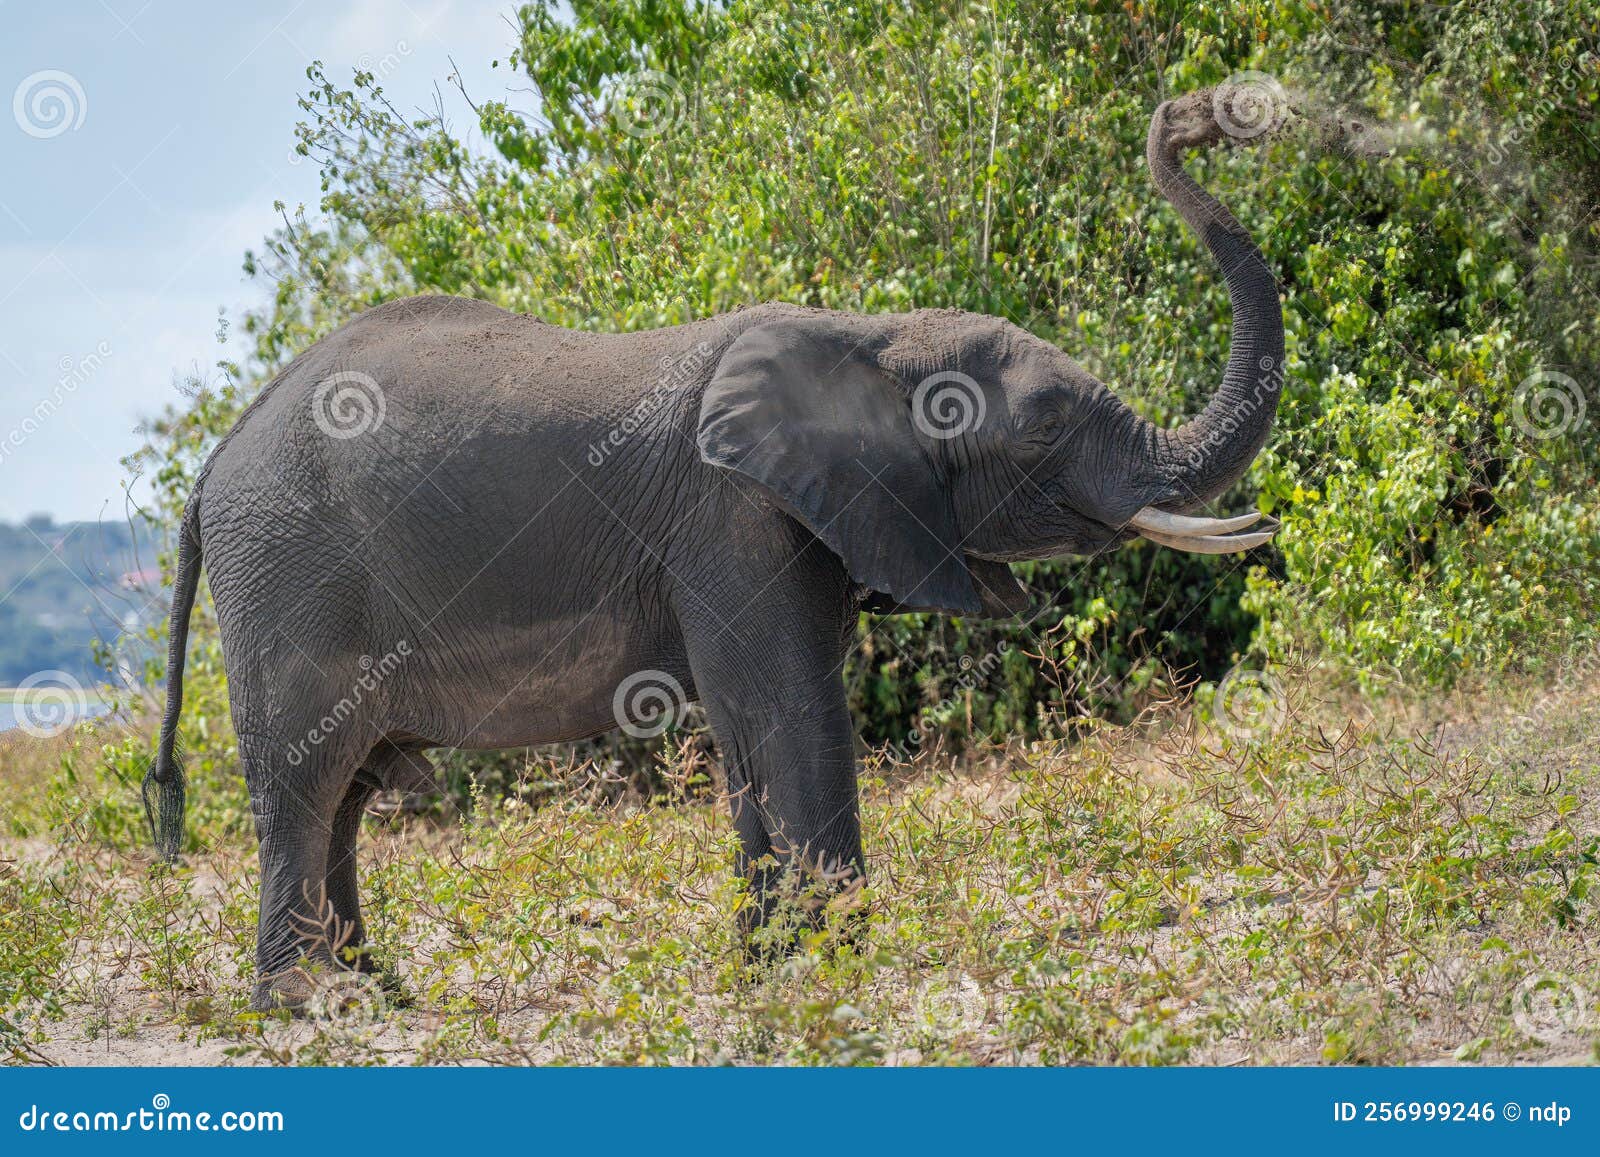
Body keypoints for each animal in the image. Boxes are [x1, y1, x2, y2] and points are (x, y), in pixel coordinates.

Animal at [143, 85, 1287, 1010]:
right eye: (1047, 426)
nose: (1197, 119)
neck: (869, 334)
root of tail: (212, 464)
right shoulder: (730, 518)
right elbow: (788, 706)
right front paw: (832, 962)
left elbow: (756, 721)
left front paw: (770, 960)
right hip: (288, 569)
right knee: (306, 778)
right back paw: (313, 1003)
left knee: (350, 787)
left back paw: (376, 985)